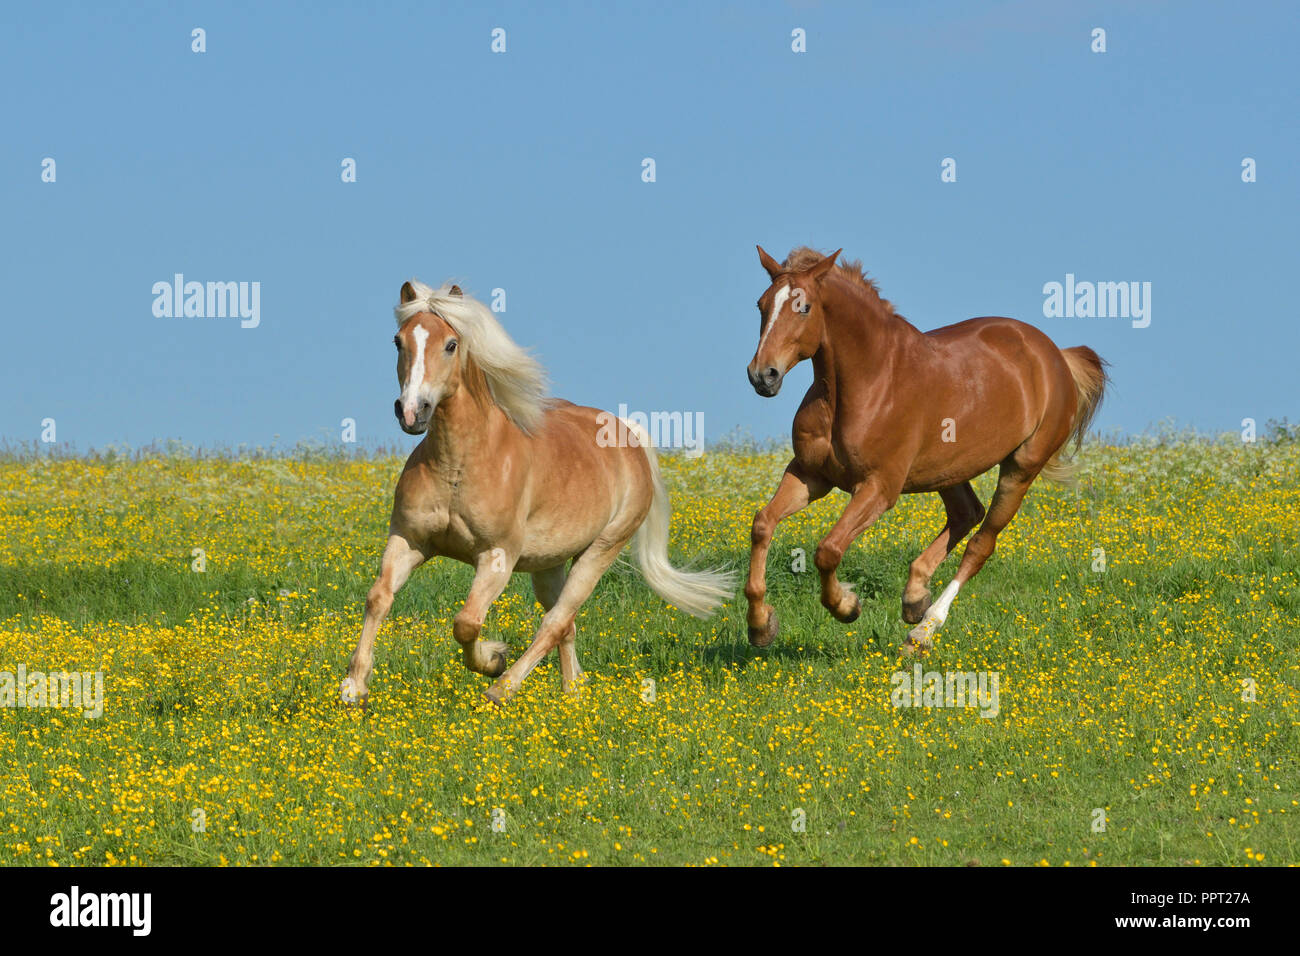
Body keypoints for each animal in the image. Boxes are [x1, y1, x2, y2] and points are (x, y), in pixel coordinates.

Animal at [340, 279, 735, 707]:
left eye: (450, 344)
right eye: (399, 341)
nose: (413, 411)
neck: (459, 465)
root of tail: (629, 436)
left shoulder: (496, 556)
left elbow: (466, 623)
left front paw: (493, 659)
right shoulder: (408, 540)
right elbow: (378, 597)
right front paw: (353, 686)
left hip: (600, 551)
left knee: (555, 622)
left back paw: (503, 687)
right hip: (549, 563)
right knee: (565, 625)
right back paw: (573, 691)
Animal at [744, 245, 1108, 656]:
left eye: (803, 307)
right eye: (761, 305)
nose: (762, 375)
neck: (870, 382)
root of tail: (1056, 355)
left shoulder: (879, 489)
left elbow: (828, 550)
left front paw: (847, 606)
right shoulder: (810, 475)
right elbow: (763, 524)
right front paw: (761, 625)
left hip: (1021, 468)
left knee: (981, 543)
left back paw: (922, 631)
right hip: (950, 469)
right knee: (966, 513)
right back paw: (915, 598)